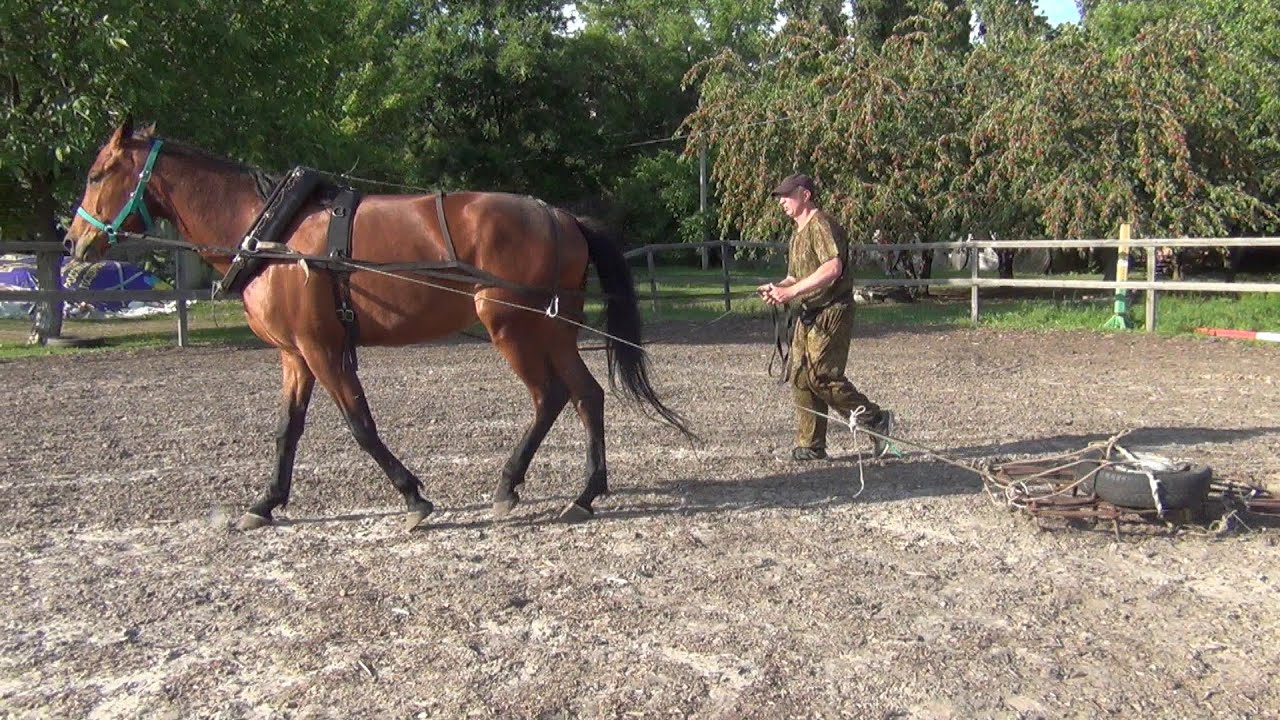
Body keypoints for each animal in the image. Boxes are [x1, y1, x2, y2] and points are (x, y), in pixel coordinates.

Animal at [67, 117, 691, 532]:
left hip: (513, 326)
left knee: (552, 395)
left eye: (99, 172)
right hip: (552, 328)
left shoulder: (322, 348)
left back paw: (521, 487)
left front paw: (413, 498)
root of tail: (560, 216)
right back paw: (579, 492)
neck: (275, 235)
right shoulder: (295, 354)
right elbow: (287, 429)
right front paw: (264, 502)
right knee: (584, 395)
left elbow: (360, 425)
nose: (74, 243)